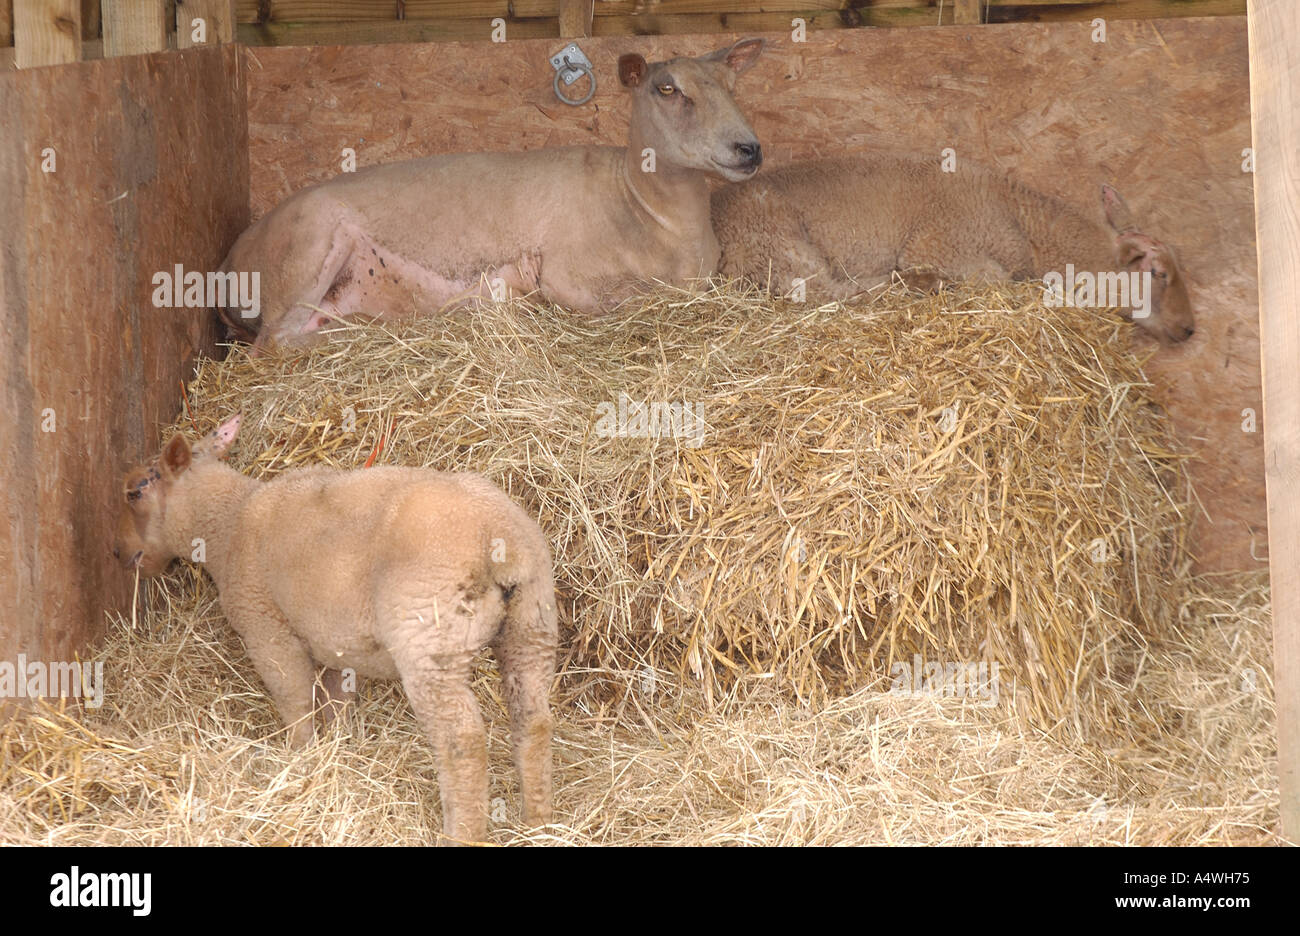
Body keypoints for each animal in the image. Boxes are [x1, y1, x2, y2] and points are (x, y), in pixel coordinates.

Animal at [114, 415, 558, 845]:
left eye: (134, 492)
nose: (118, 554)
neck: (228, 522)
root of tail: (498, 536)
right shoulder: (333, 642)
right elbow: (336, 702)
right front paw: (336, 750)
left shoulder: (268, 630)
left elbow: (294, 701)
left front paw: (298, 758)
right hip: (532, 624)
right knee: (534, 721)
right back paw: (538, 823)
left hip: (431, 641)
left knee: (462, 742)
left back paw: (462, 834)